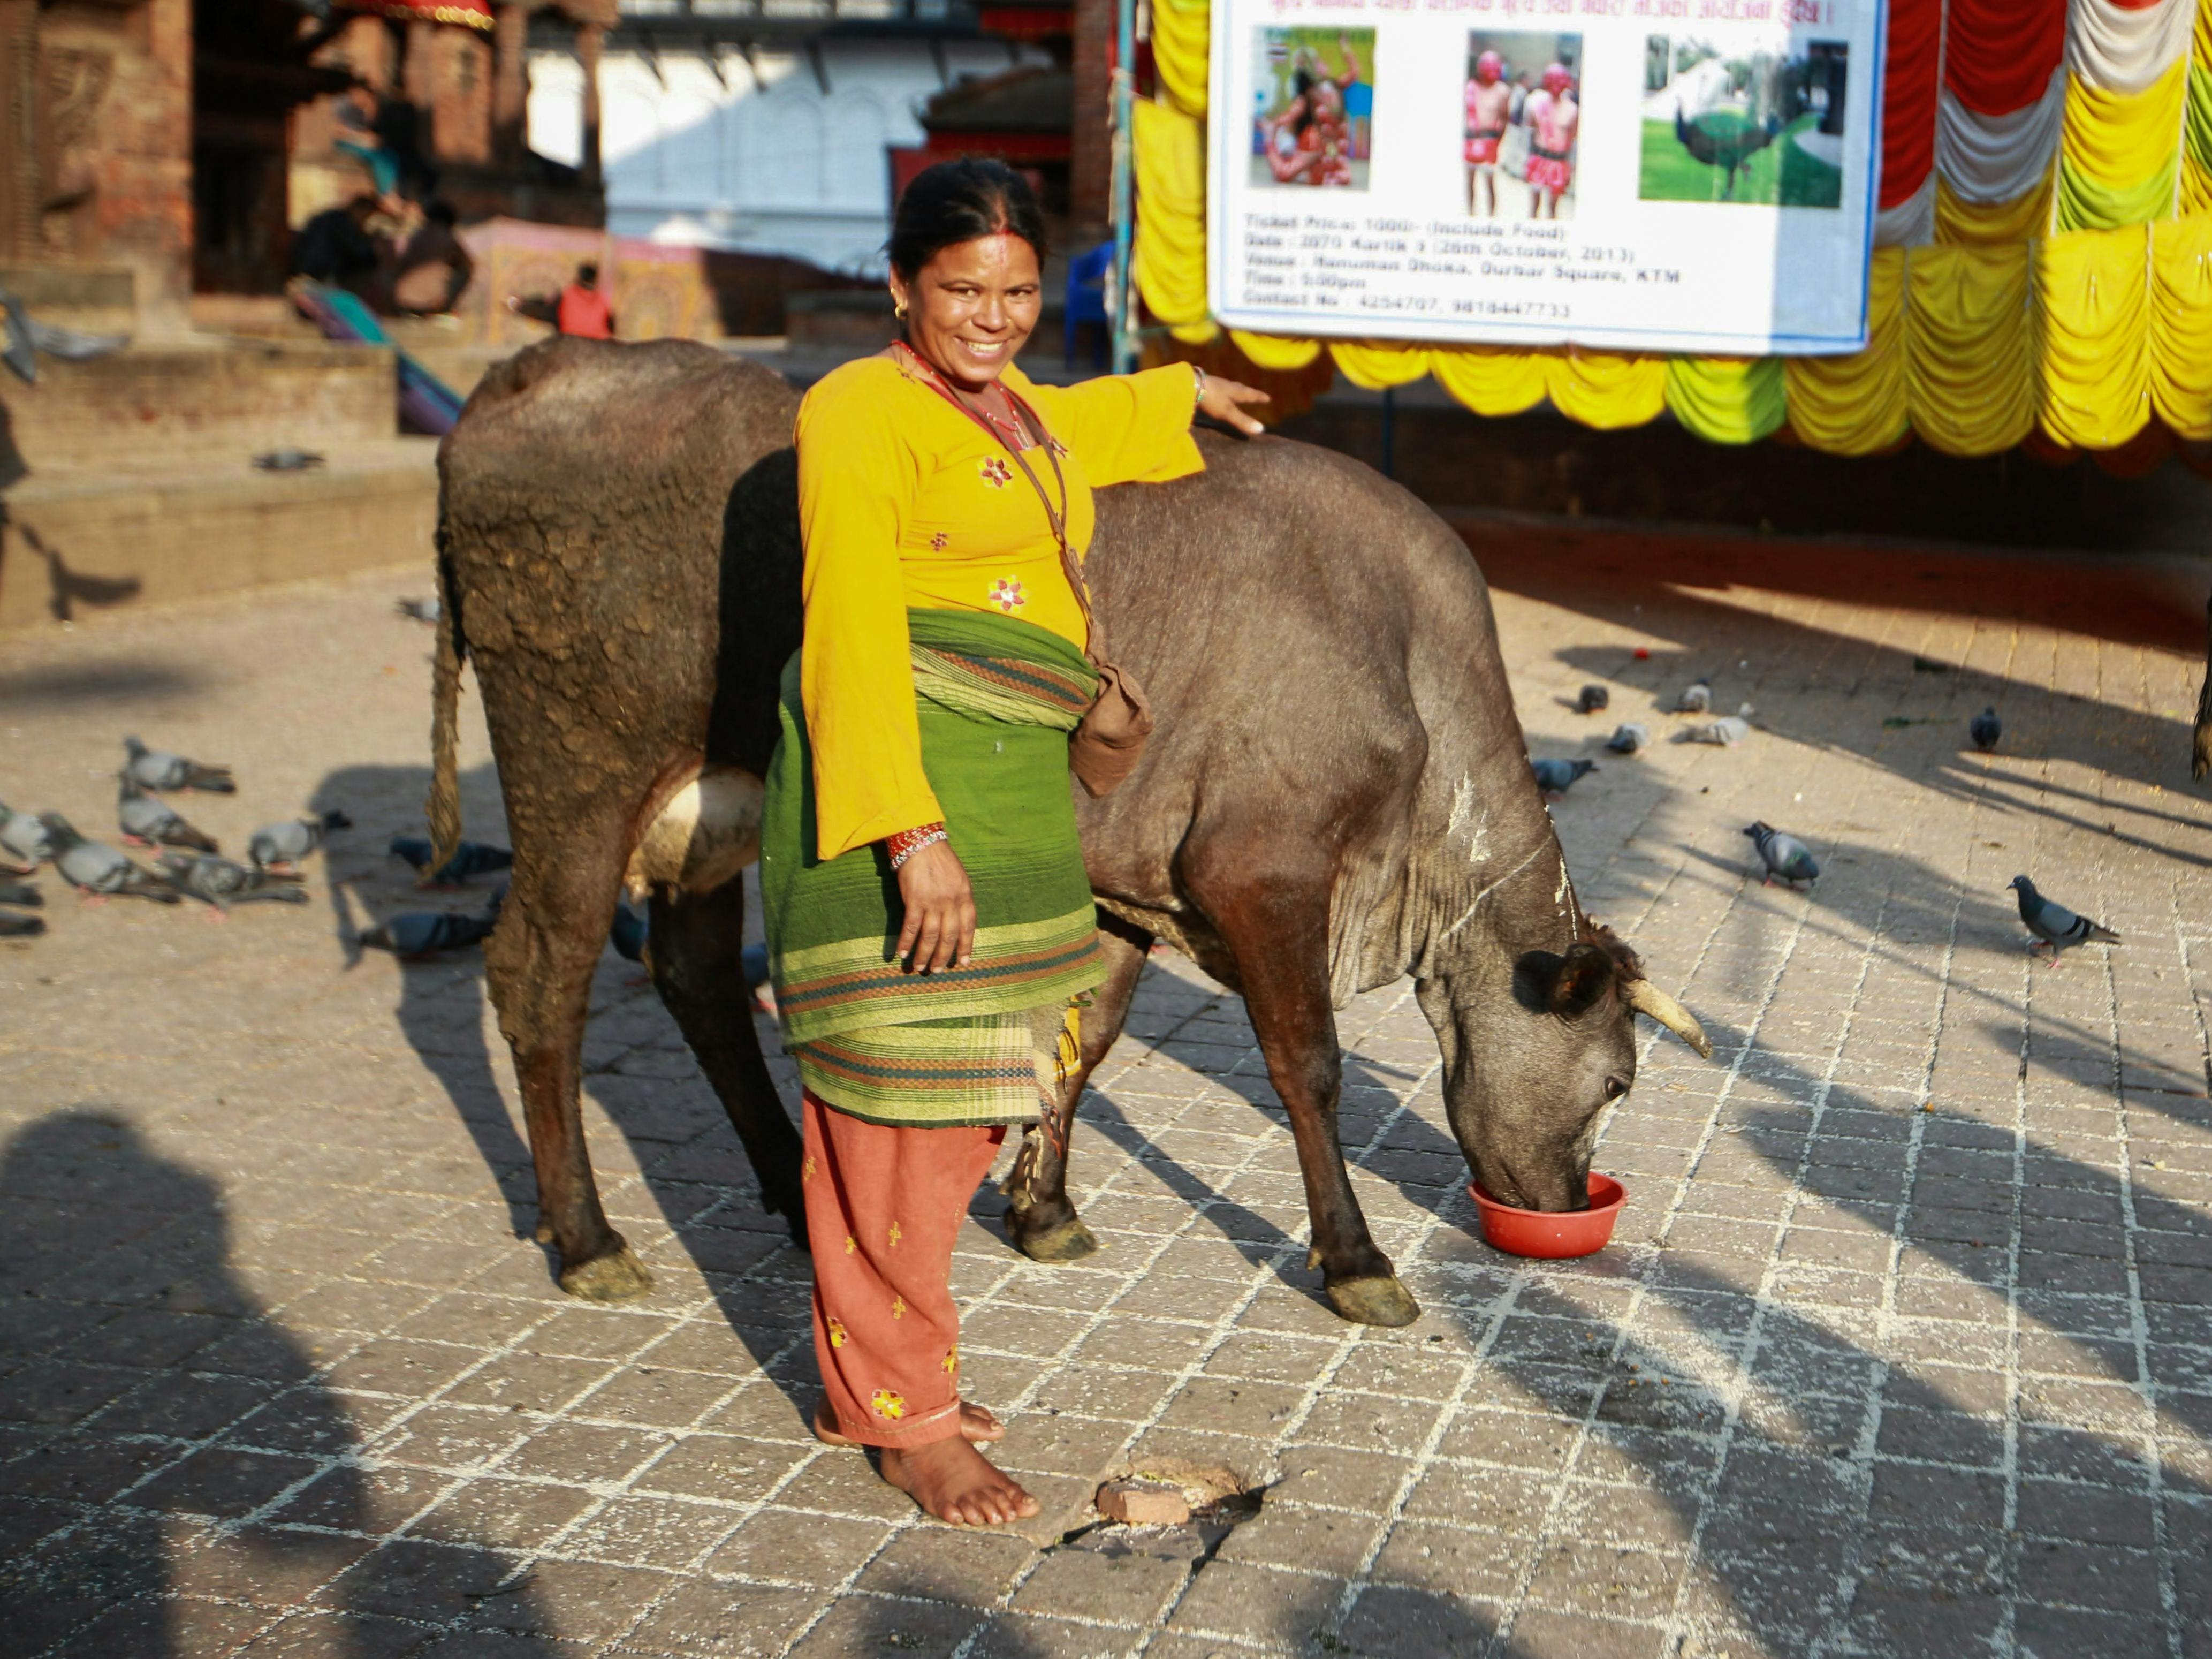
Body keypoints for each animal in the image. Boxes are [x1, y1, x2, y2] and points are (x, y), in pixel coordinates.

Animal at [430, 338, 1713, 1327]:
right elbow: (1309, 1064)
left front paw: (1041, 1206)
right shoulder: (1260, 866)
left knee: (694, 971)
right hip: (575, 762)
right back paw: (588, 1235)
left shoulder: (1138, 878)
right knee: (538, 970)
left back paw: (793, 1200)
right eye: (1613, 1078)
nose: (1570, 1199)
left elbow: (1082, 1039)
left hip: (705, 795)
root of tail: (545, 366)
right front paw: (1353, 1259)